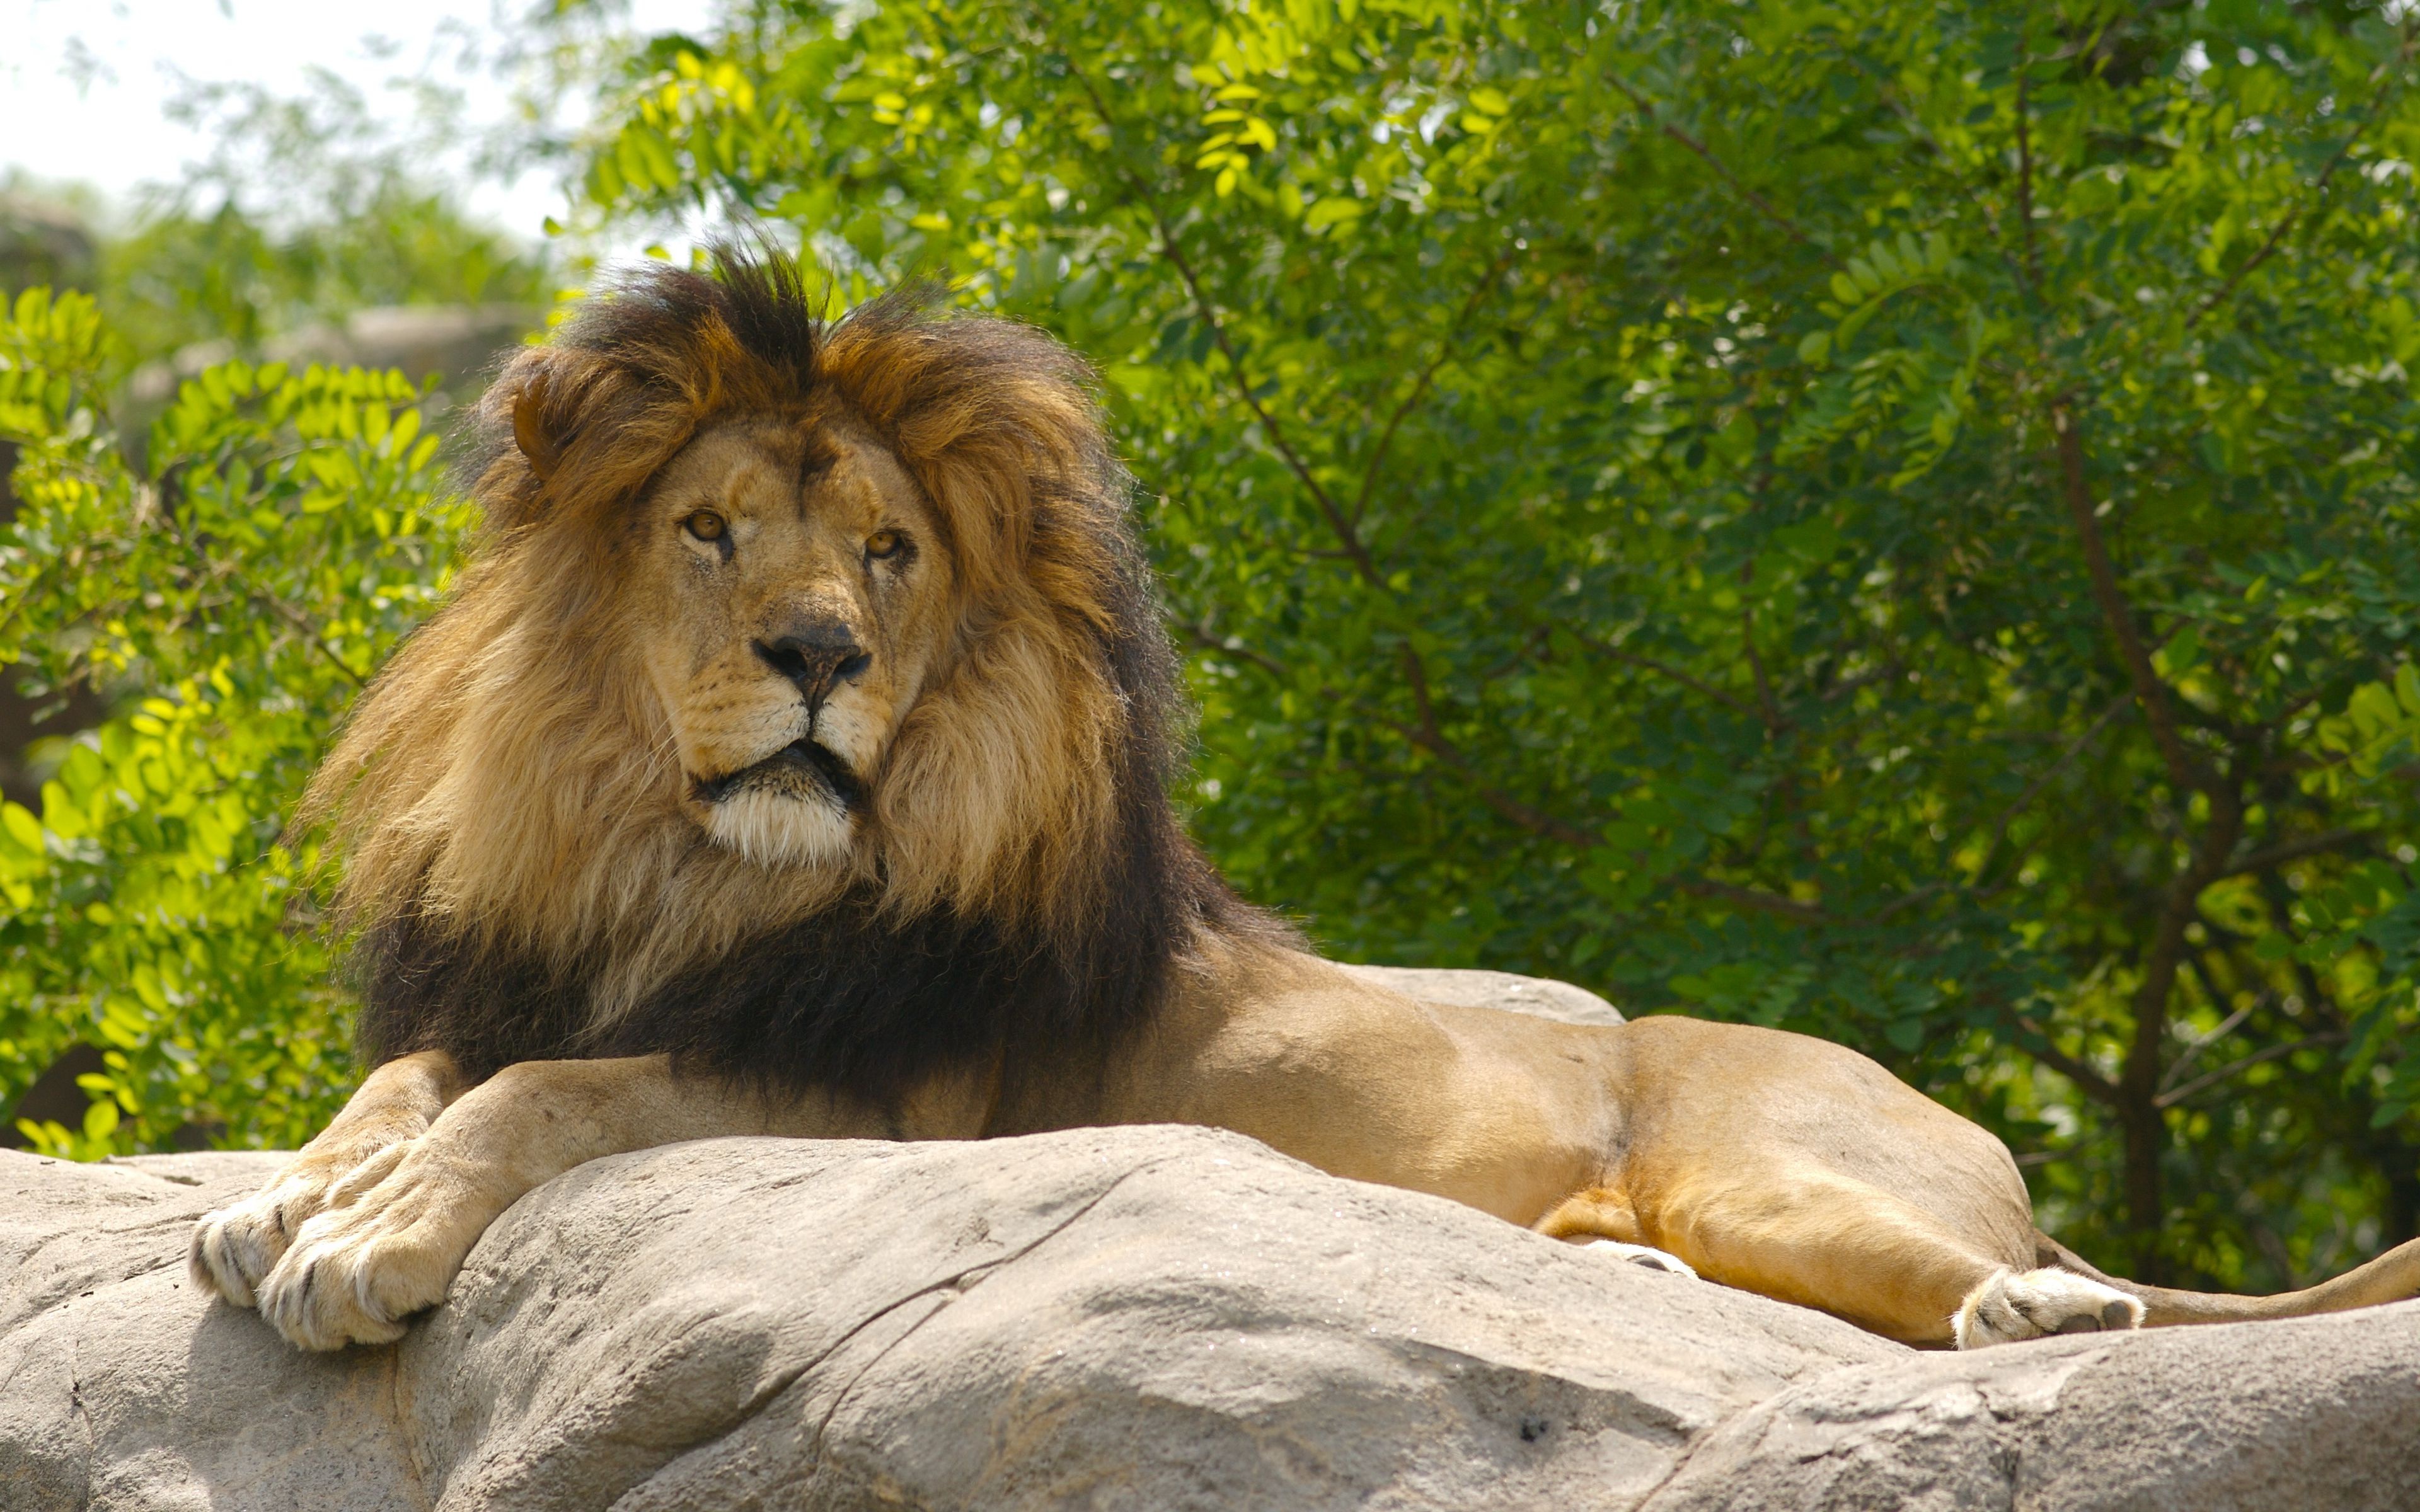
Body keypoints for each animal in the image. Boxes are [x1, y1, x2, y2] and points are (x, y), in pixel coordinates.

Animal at [189, 246, 2420, 1353]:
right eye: (711, 531)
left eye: (890, 553)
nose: (818, 652)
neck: (686, 869)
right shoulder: (533, 972)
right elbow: (419, 1078)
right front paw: (288, 1193)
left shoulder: (880, 1099)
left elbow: (546, 1100)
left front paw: (364, 1242)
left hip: (1781, 1166)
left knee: (2015, 1290)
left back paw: (2038, 1297)